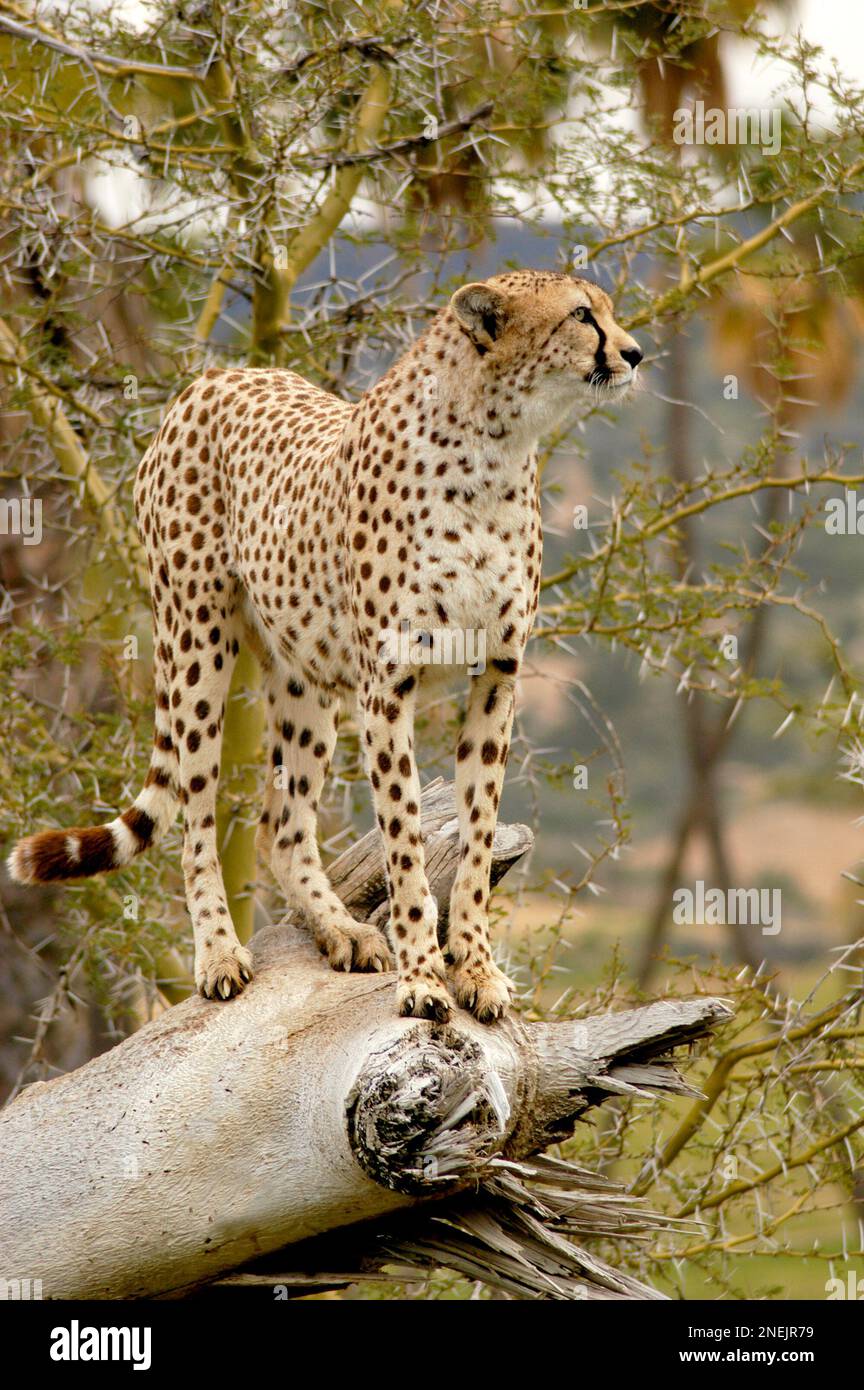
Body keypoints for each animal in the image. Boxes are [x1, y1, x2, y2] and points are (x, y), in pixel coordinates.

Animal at [8, 269, 642, 1024]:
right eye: (581, 316)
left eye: (606, 311)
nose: (634, 353)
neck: (497, 446)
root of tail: (216, 376)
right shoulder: (387, 686)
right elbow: (404, 843)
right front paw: (423, 977)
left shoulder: (497, 674)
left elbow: (479, 834)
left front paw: (476, 968)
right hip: (196, 643)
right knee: (195, 818)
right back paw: (219, 954)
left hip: (301, 674)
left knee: (280, 826)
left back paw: (341, 929)